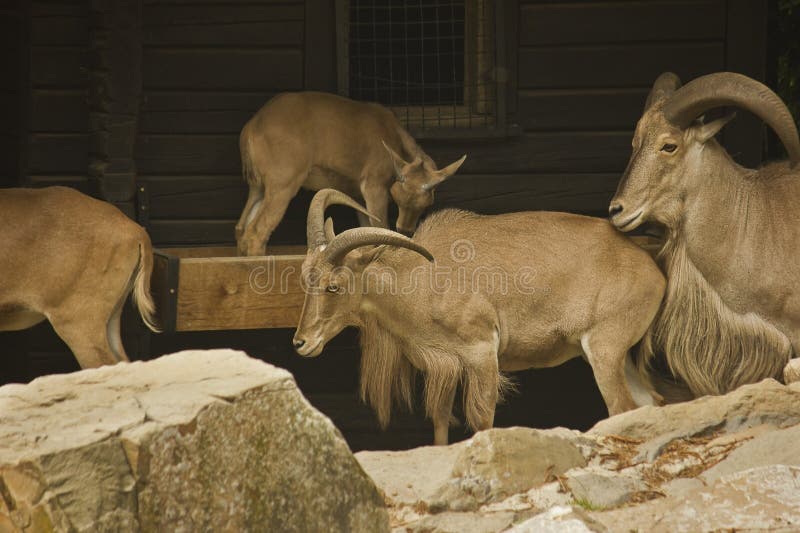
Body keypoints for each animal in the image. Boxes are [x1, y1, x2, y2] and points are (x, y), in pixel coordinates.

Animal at [236, 91, 466, 256]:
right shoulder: (374, 186)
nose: (406, 229)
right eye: (397, 197)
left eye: (426, 203)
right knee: (256, 232)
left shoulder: (358, 195)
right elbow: (380, 227)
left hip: (258, 187)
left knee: (241, 229)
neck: (391, 134)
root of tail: (251, 128)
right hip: (283, 183)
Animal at [292, 189, 665, 444]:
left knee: (620, 406)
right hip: (616, 356)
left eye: (334, 285)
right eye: (305, 276)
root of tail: (654, 272)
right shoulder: (446, 363)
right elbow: (440, 422)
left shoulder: (482, 352)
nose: (301, 342)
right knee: (649, 402)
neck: (422, 279)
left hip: (605, 349)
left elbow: (483, 419)